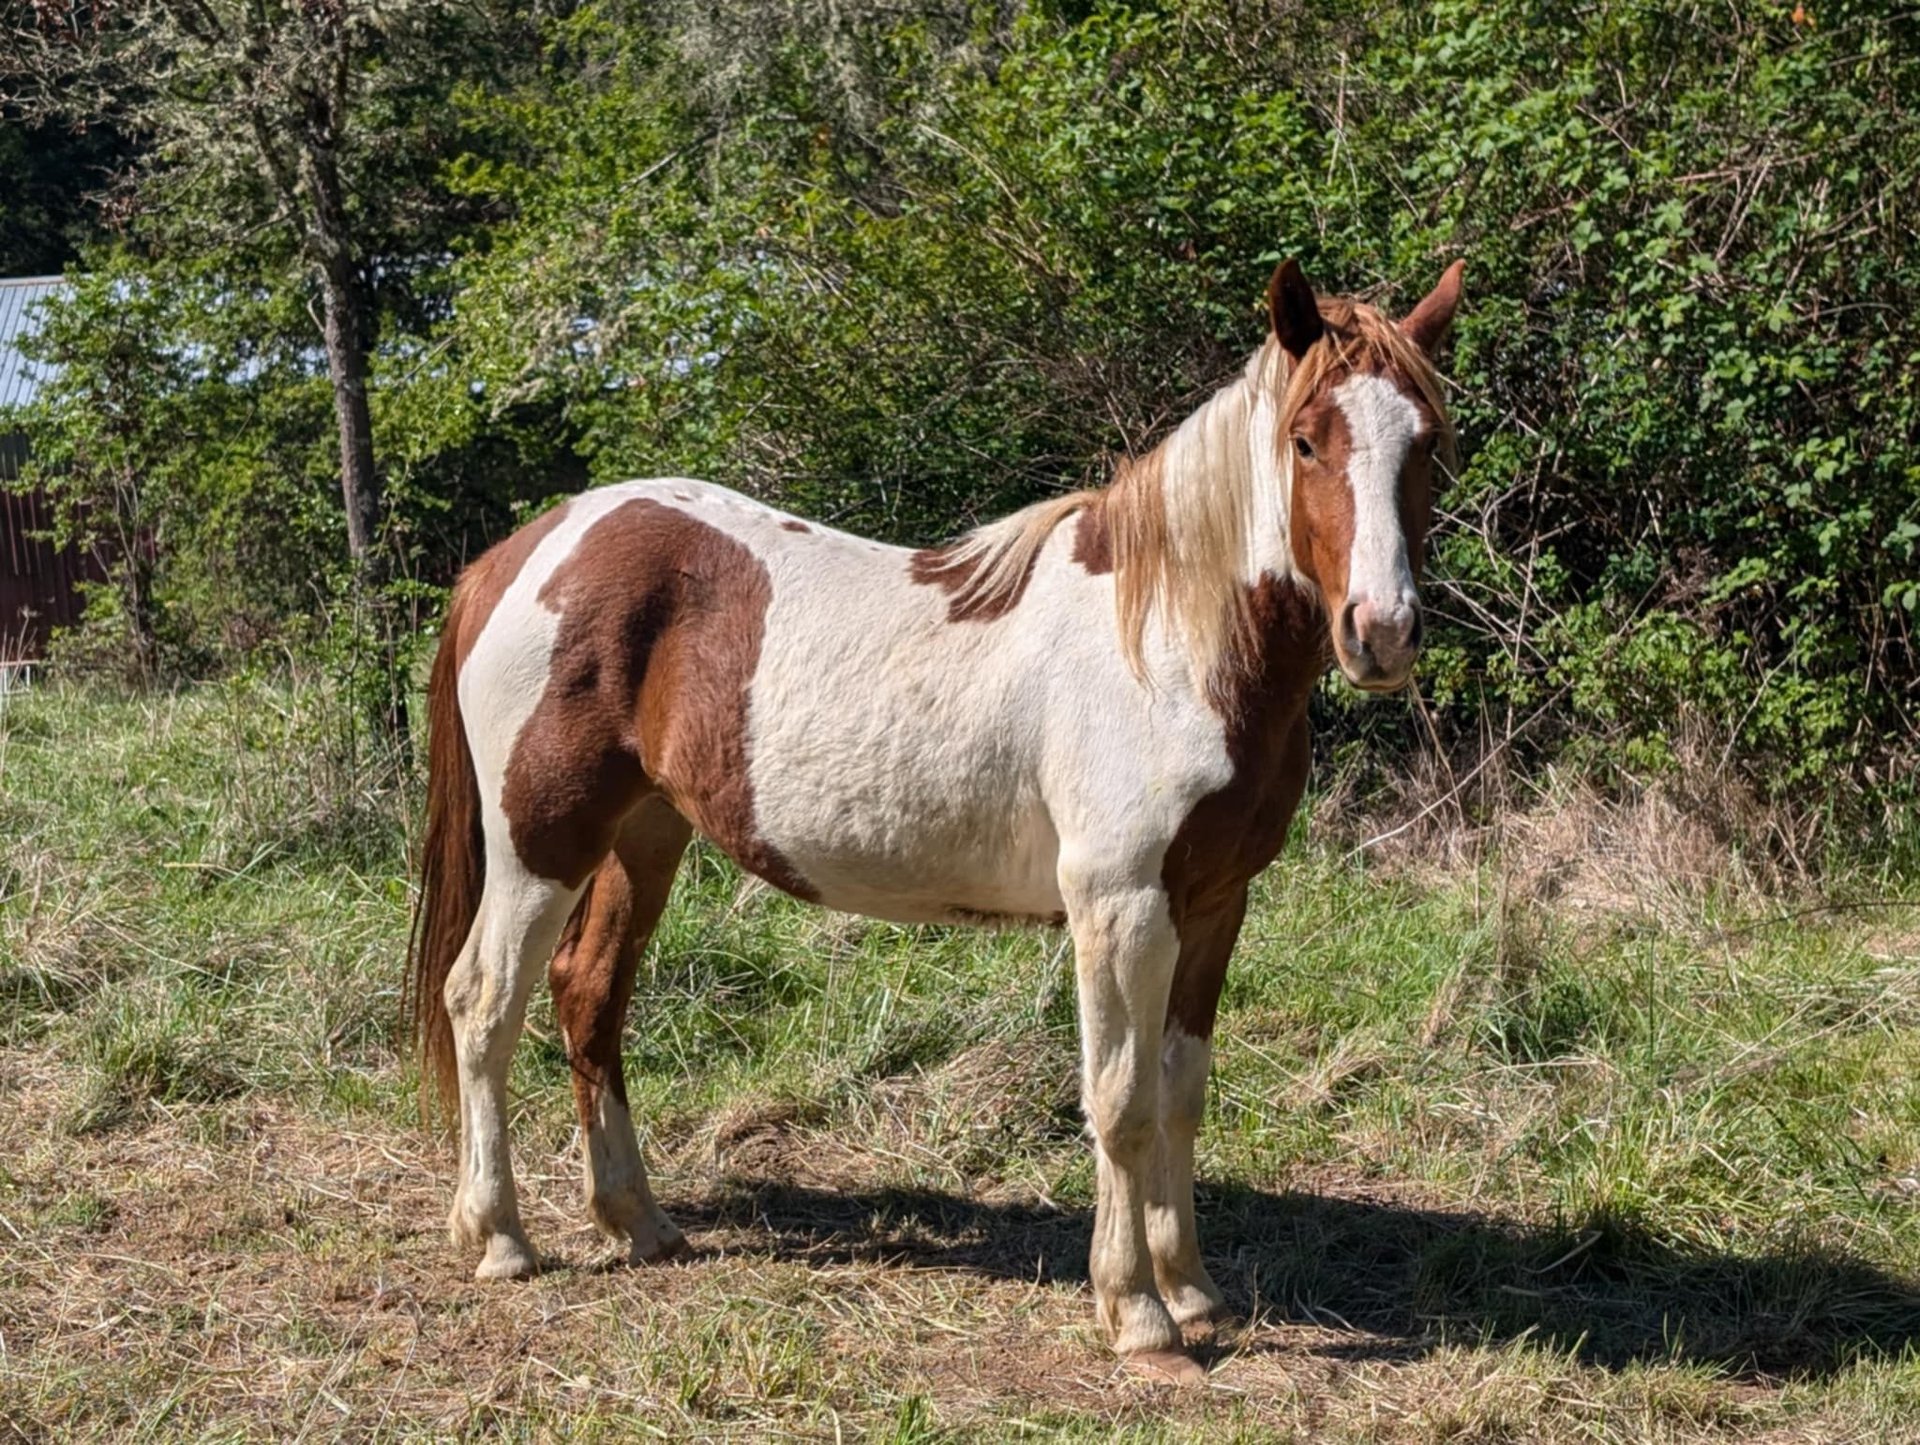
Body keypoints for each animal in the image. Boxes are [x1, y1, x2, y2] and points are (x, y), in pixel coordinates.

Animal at [408, 257, 1464, 1382]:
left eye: (1426, 443)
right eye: (1307, 439)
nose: (1382, 631)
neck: (1168, 644)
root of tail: (523, 552)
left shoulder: (1216, 902)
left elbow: (1181, 1088)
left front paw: (1194, 1289)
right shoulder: (1120, 905)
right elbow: (1121, 1100)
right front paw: (1138, 1314)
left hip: (644, 833)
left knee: (588, 993)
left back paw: (638, 1222)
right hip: (542, 841)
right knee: (483, 1000)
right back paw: (500, 1236)